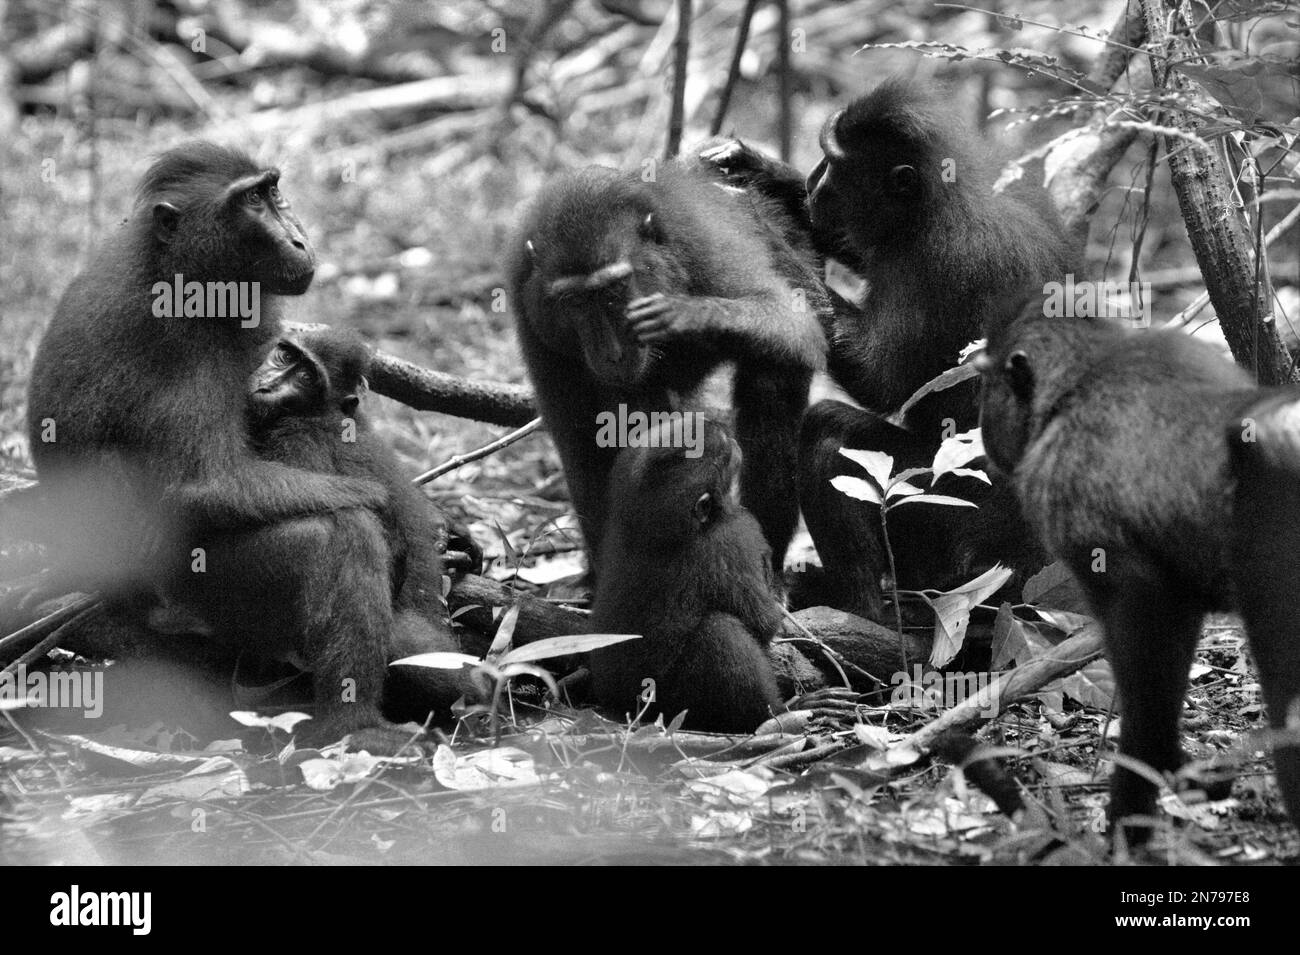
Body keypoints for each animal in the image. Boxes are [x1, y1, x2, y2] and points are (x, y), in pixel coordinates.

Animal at [25, 142, 412, 752]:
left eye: (273, 191)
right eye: (252, 201)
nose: (298, 238)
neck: (172, 261)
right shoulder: (181, 337)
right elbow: (208, 484)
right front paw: (389, 508)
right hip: (191, 588)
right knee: (337, 536)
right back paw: (355, 723)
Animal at [507, 160, 829, 581]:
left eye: (614, 290)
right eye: (574, 301)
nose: (611, 352)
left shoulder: (701, 244)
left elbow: (792, 321)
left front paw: (686, 314)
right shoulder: (530, 312)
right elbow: (583, 439)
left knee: (774, 372)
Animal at [588, 418, 784, 733]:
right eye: (724, 453)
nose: (730, 437)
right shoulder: (735, 535)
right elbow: (764, 621)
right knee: (720, 631)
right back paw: (776, 713)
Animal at [700, 79, 1078, 619]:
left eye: (834, 164)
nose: (812, 183)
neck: (938, 200)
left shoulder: (945, 259)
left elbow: (883, 380)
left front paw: (755, 219)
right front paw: (758, 168)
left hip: (954, 525)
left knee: (830, 436)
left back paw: (856, 606)